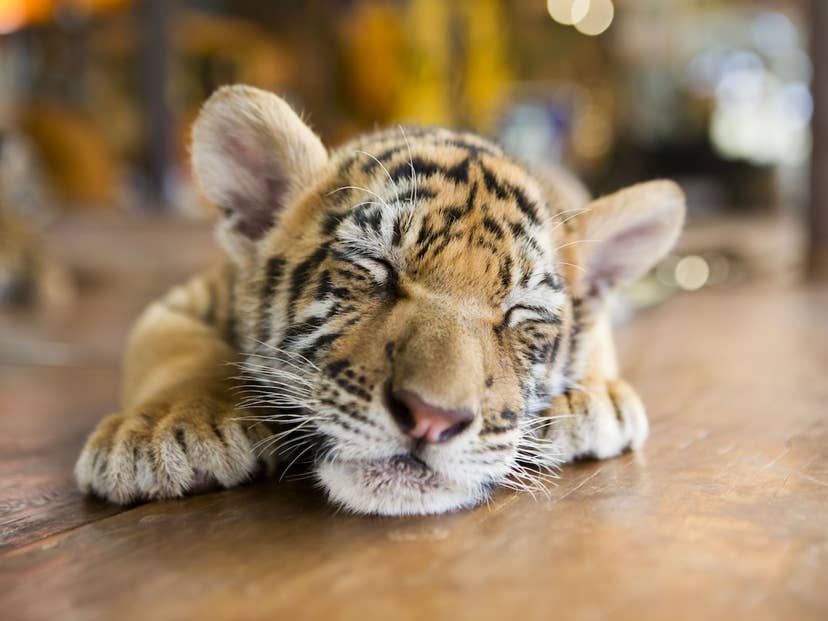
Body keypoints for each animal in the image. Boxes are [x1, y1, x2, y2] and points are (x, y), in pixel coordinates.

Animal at [75, 85, 685, 516]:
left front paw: (593, 398)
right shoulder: (184, 299)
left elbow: (596, 338)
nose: (432, 420)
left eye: (519, 313)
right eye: (377, 268)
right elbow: (174, 347)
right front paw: (164, 430)